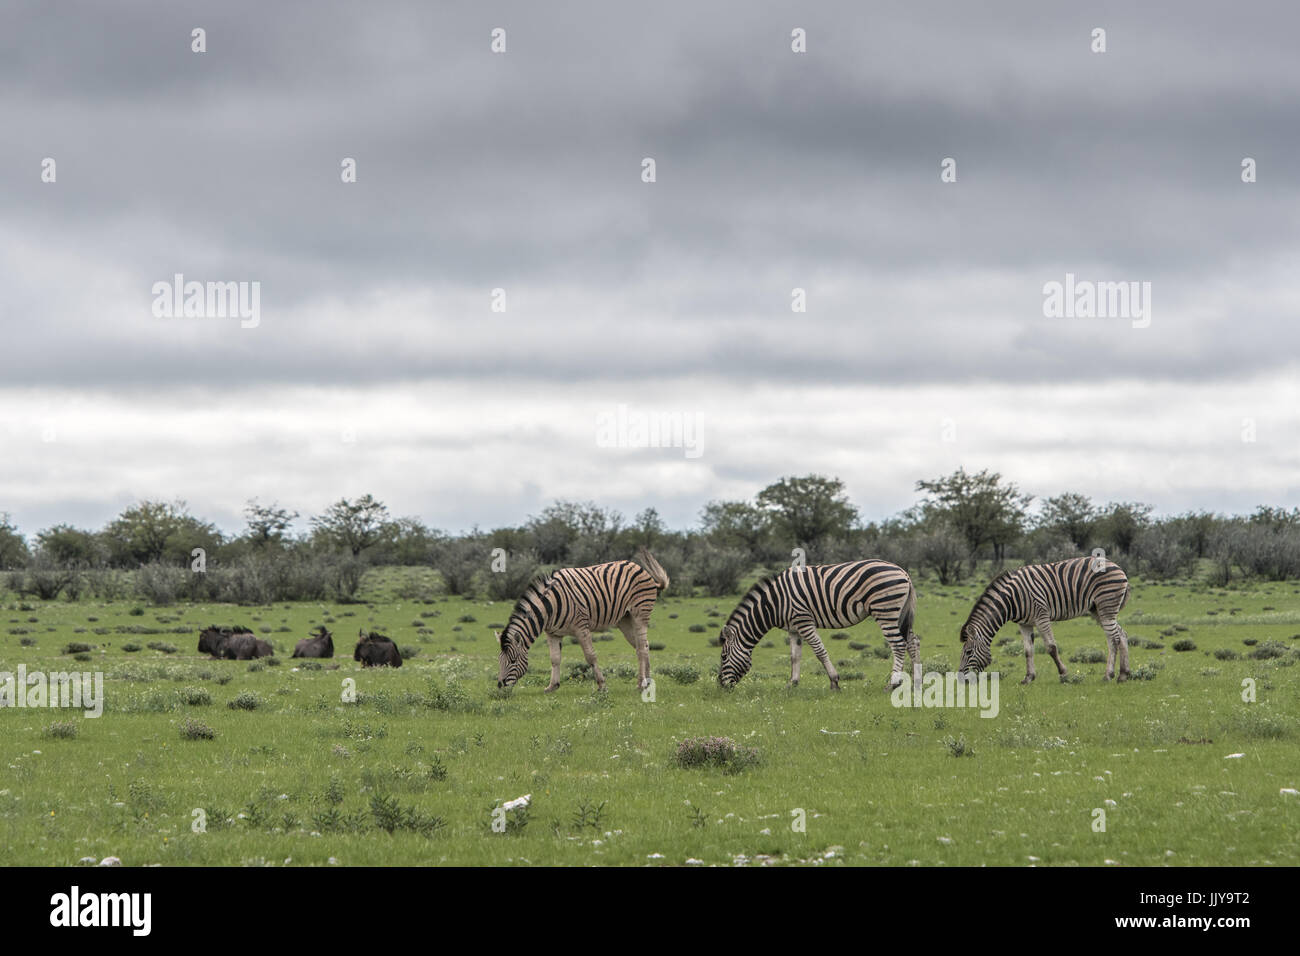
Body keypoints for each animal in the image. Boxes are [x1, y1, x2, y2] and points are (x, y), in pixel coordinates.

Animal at [496, 547, 670, 693]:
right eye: (499, 660)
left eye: (513, 661)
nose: (500, 685)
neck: (550, 607)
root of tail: (639, 567)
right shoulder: (552, 633)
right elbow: (555, 659)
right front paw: (552, 686)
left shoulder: (581, 627)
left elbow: (590, 656)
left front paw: (601, 685)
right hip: (624, 620)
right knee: (644, 646)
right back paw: (648, 681)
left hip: (639, 614)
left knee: (641, 648)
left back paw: (641, 684)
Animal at [717, 560, 919, 691]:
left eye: (723, 656)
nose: (720, 685)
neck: (774, 604)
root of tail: (903, 572)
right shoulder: (794, 628)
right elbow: (794, 656)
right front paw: (792, 683)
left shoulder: (804, 621)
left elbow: (820, 651)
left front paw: (834, 682)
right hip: (899, 613)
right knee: (913, 642)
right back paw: (917, 681)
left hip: (885, 611)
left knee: (898, 645)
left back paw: (893, 684)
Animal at [957, 555, 1132, 684]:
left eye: (968, 652)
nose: (960, 679)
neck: (1011, 599)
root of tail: (1117, 566)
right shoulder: (1024, 624)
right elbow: (1028, 650)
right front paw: (1028, 678)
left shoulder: (1041, 616)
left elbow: (1051, 647)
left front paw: (1064, 674)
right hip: (1097, 609)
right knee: (1120, 635)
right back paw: (1123, 674)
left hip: (1106, 605)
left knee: (1114, 638)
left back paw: (1109, 675)